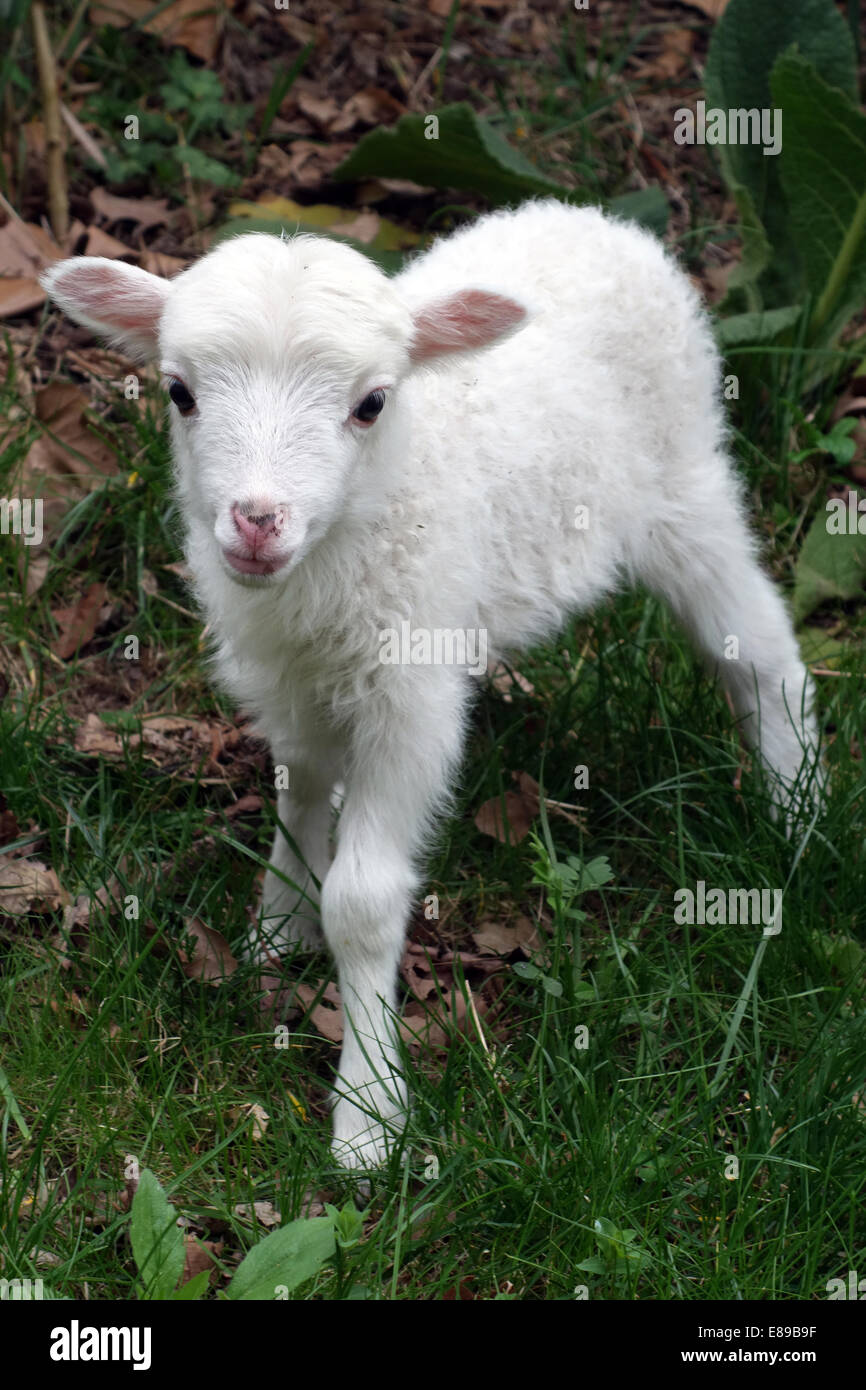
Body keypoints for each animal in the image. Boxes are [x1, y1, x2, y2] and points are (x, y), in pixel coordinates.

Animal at [42, 199, 820, 1169]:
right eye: (180, 392)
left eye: (372, 403)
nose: (257, 523)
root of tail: (596, 220)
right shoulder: (288, 674)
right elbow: (301, 787)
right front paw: (277, 924)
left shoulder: (410, 698)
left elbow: (366, 903)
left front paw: (368, 1113)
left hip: (686, 484)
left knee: (759, 651)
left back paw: (797, 816)